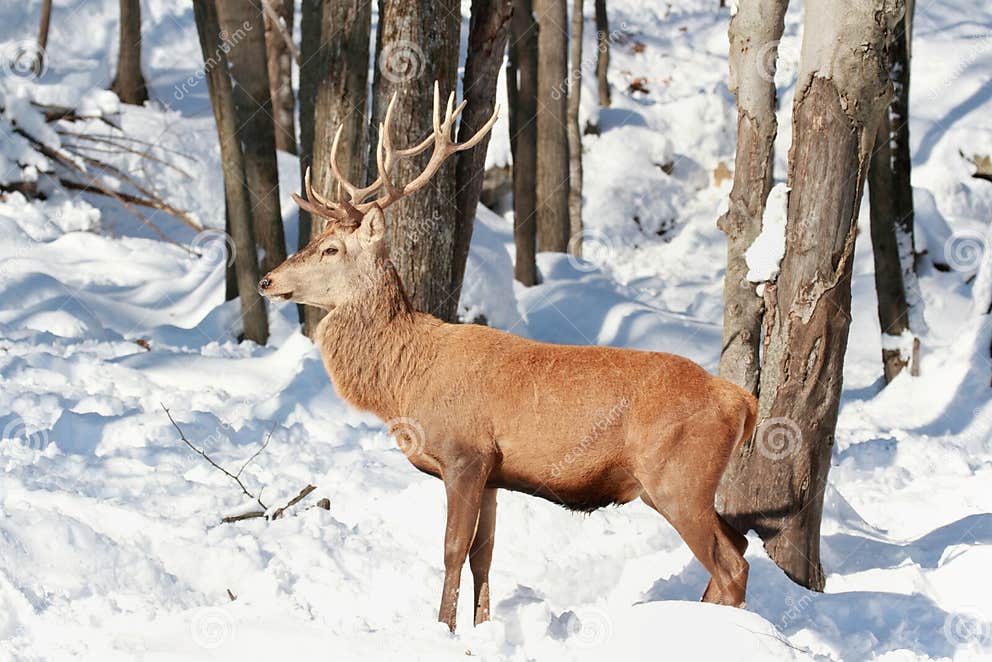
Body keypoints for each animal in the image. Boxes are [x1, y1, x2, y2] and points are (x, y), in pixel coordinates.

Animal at [259, 82, 758, 632]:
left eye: (331, 249)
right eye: (314, 240)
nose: (266, 280)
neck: (405, 383)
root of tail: (741, 401)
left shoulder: (466, 452)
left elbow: (453, 549)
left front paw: (444, 628)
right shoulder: (495, 475)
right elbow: (485, 555)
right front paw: (482, 627)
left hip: (677, 478)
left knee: (732, 562)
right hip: (674, 485)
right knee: (740, 543)